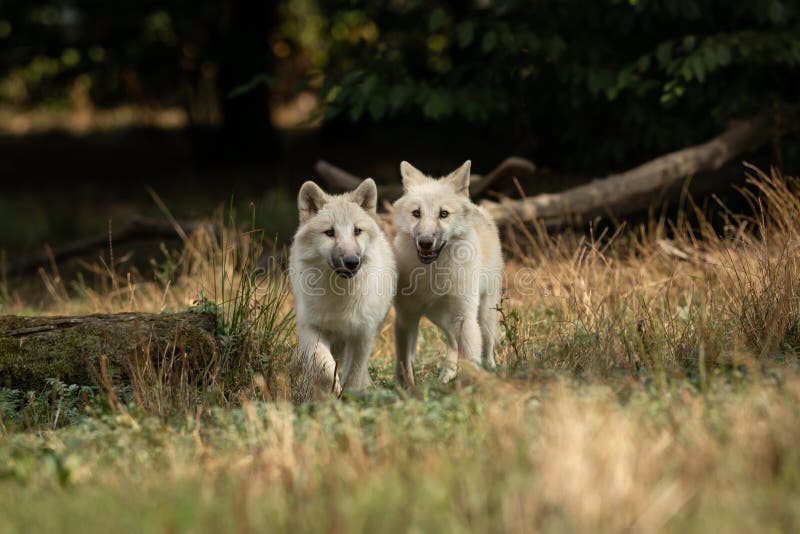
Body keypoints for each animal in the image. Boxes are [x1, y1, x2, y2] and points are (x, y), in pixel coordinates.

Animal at [289, 178, 397, 396]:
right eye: (330, 233)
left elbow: (354, 374)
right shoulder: (311, 328)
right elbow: (324, 367)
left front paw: (350, 394)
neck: (340, 294)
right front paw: (331, 389)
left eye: (357, 231)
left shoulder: (362, 335)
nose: (352, 262)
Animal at [392, 160, 503, 386]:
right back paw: (446, 376)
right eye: (416, 213)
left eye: (443, 214)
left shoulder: (465, 318)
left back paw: (488, 370)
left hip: (483, 315)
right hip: (441, 319)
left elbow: (470, 358)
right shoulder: (406, 318)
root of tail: (480, 209)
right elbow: (403, 366)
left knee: (486, 348)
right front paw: (407, 390)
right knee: (453, 344)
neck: (433, 274)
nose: (425, 242)